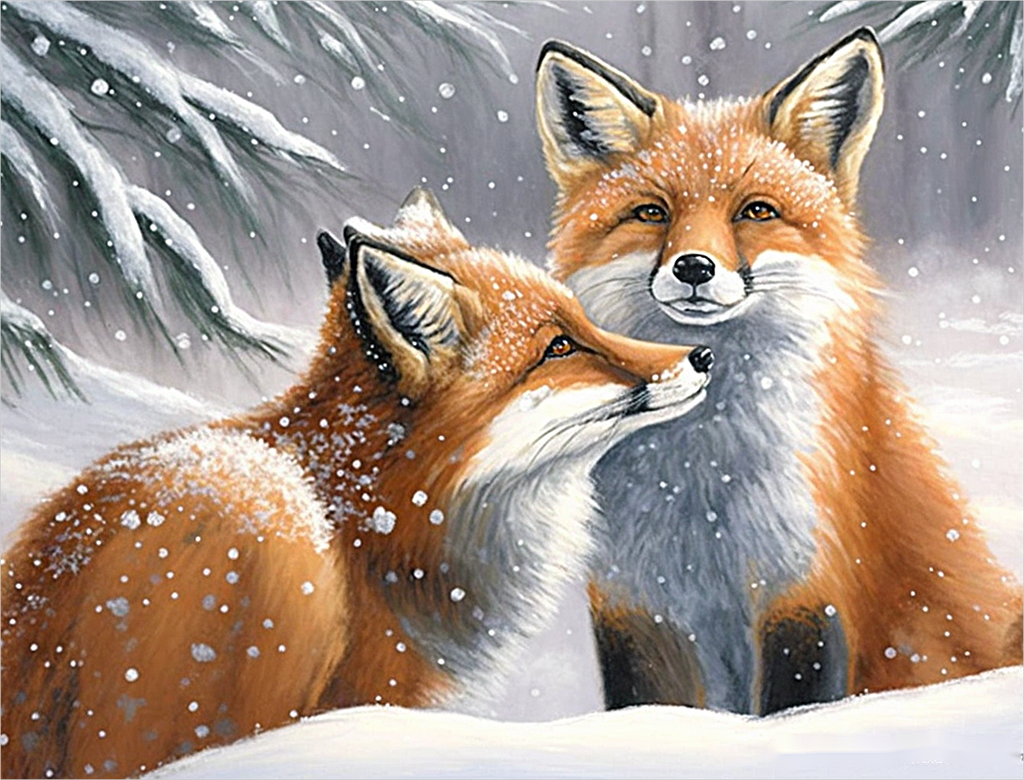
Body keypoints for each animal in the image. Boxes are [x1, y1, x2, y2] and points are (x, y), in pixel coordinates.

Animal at [0, 188, 713, 779]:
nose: (702, 356)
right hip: (269, 530)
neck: (381, 521)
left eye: (584, 323)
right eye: (559, 348)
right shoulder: (376, 691)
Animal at [535, 30, 1024, 716]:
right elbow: (646, 707)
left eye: (756, 211)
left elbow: (795, 703)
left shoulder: (806, 586)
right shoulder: (637, 602)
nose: (693, 267)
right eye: (652, 212)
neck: (702, 484)